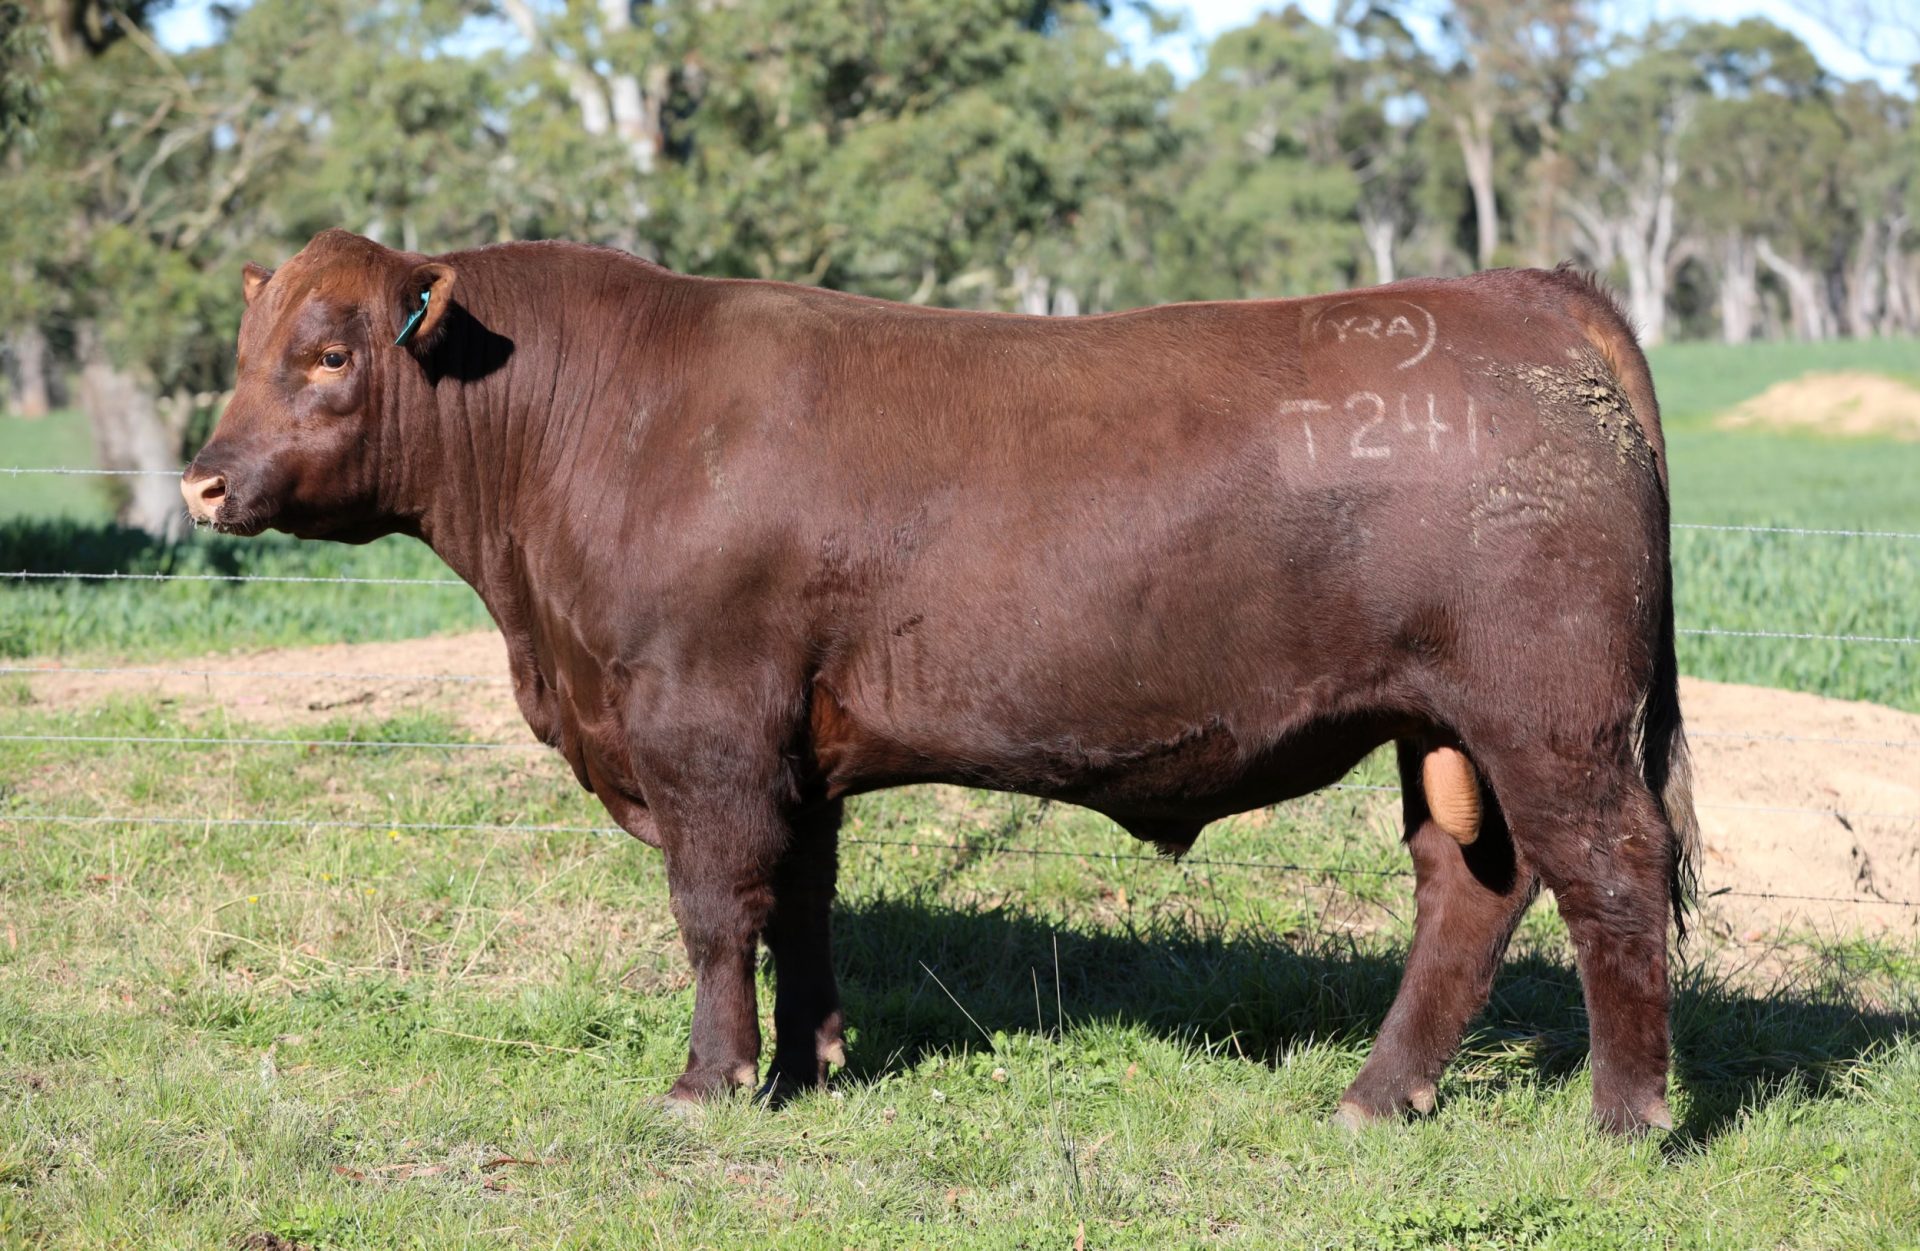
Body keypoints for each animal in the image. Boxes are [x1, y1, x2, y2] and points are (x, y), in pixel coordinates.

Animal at [181, 229, 1697, 1134]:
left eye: (330, 354)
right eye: (248, 353)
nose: (204, 479)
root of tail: (1511, 292)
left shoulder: (704, 728)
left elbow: (716, 910)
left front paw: (708, 1082)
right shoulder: (795, 750)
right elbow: (800, 905)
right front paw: (808, 1063)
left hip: (1551, 716)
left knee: (1612, 873)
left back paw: (1625, 1120)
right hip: (1448, 729)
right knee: (1474, 888)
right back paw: (1380, 1096)